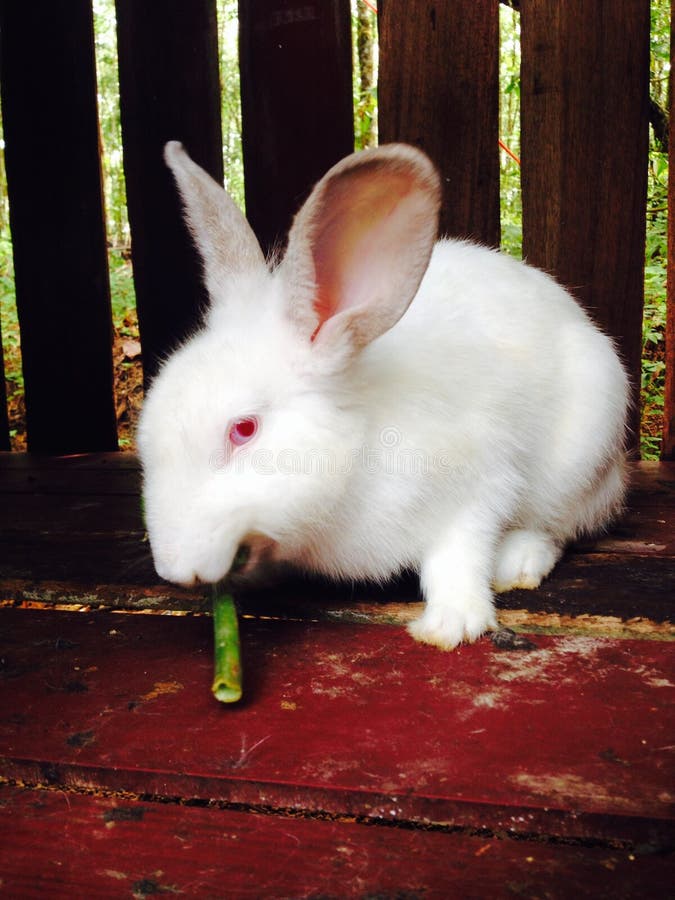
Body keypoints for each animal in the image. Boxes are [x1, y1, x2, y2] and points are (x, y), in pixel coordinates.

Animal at [136, 141, 630, 650]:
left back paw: (520, 560)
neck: (355, 449)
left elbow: (460, 552)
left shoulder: (478, 481)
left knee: (563, 525)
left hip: (581, 454)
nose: (175, 568)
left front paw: (451, 624)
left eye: (244, 429)